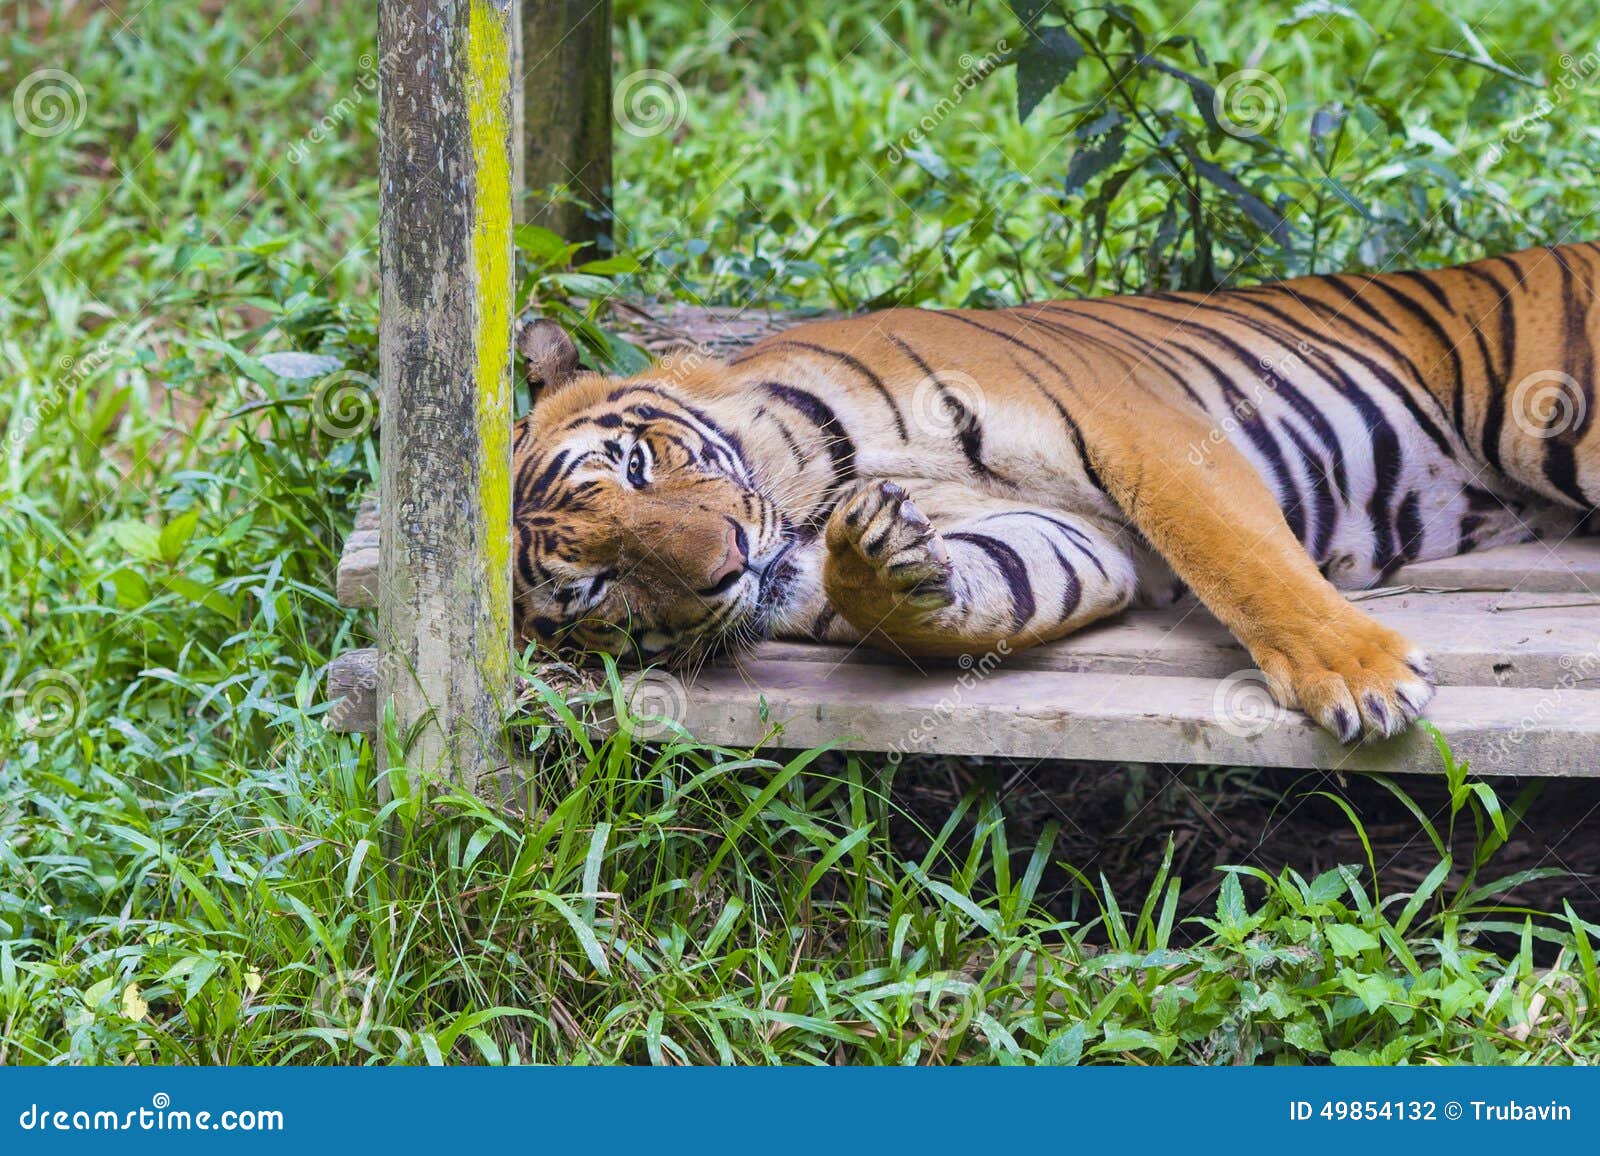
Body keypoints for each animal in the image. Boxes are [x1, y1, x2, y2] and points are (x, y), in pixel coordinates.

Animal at [510, 242, 1599, 744]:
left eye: (638, 466)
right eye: (598, 587)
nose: (730, 564)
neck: (812, 485)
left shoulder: (1144, 425)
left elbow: (1236, 554)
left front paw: (1359, 675)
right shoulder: (1072, 536)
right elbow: (993, 588)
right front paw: (882, 561)